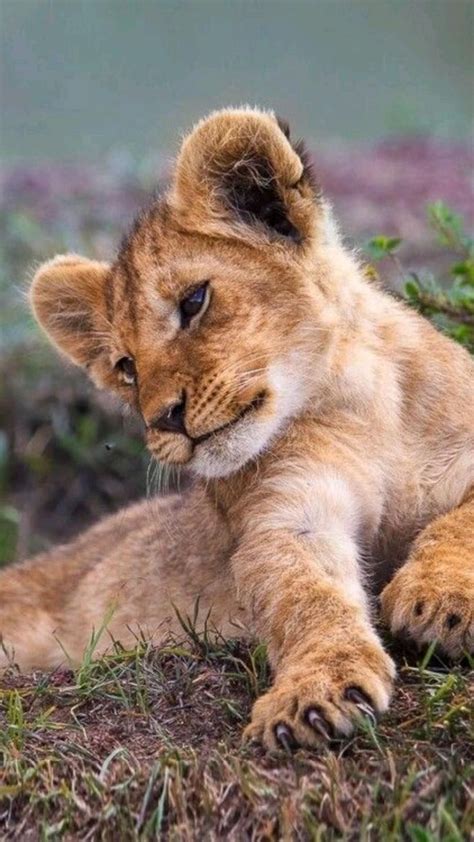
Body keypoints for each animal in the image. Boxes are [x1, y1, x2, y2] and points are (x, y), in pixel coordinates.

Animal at [1, 107, 473, 751]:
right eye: (126, 367)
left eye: (194, 301)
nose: (163, 418)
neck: (366, 404)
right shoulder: (286, 510)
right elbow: (307, 597)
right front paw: (318, 693)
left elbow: (461, 521)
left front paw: (439, 600)